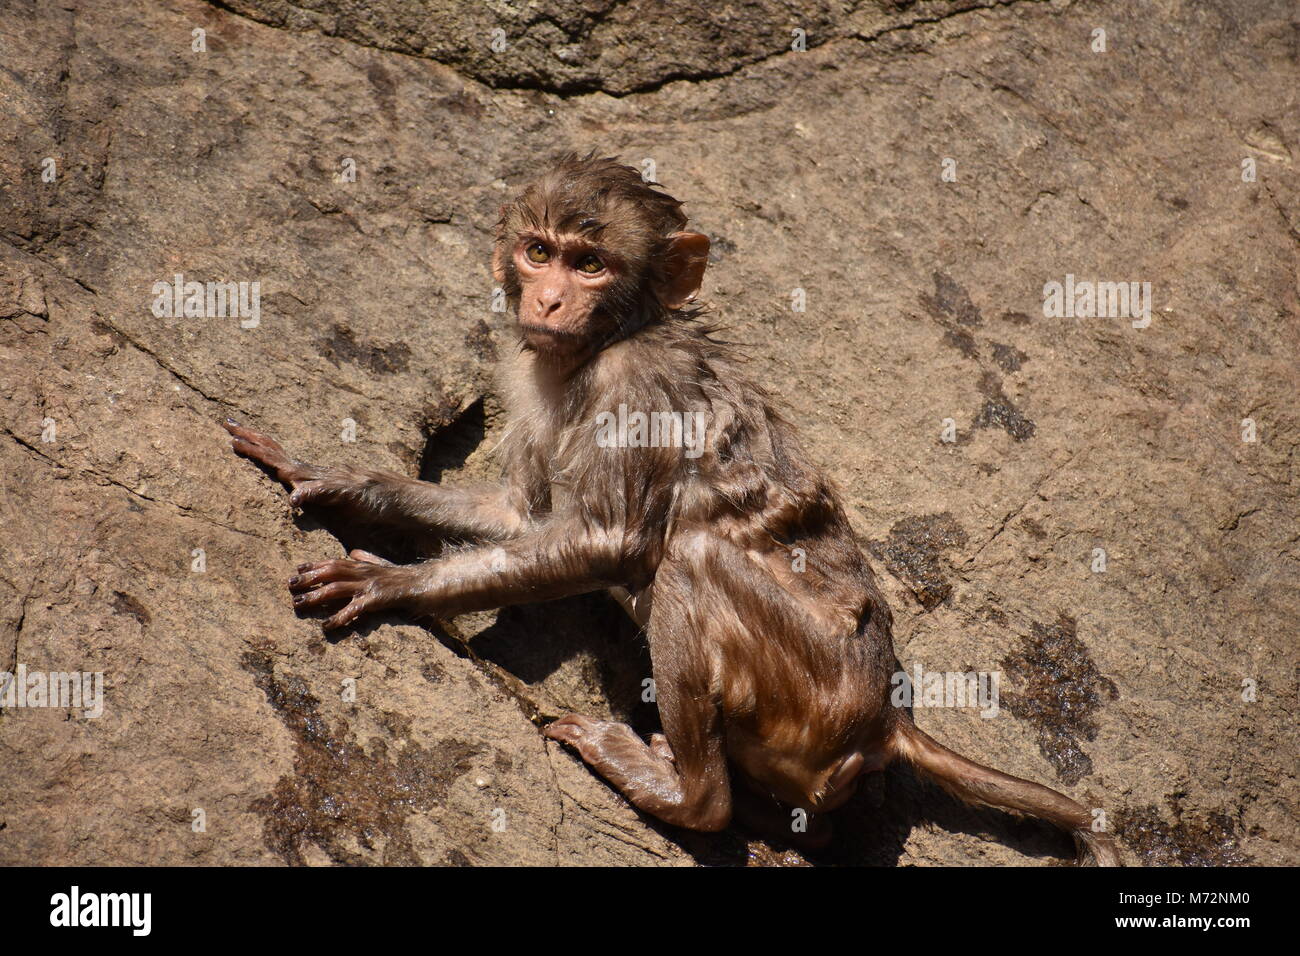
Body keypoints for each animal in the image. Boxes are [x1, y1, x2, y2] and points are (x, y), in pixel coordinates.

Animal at [223, 152, 1119, 866]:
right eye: (539, 251)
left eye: (589, 263)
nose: (548, 303)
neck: (606, 340)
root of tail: (885, 717)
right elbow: (520, 517)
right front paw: (340, 480)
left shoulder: (636, 389)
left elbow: (609, 544)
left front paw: (390, 584)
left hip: (814, 690)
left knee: (690, 562)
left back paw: (687, 796)